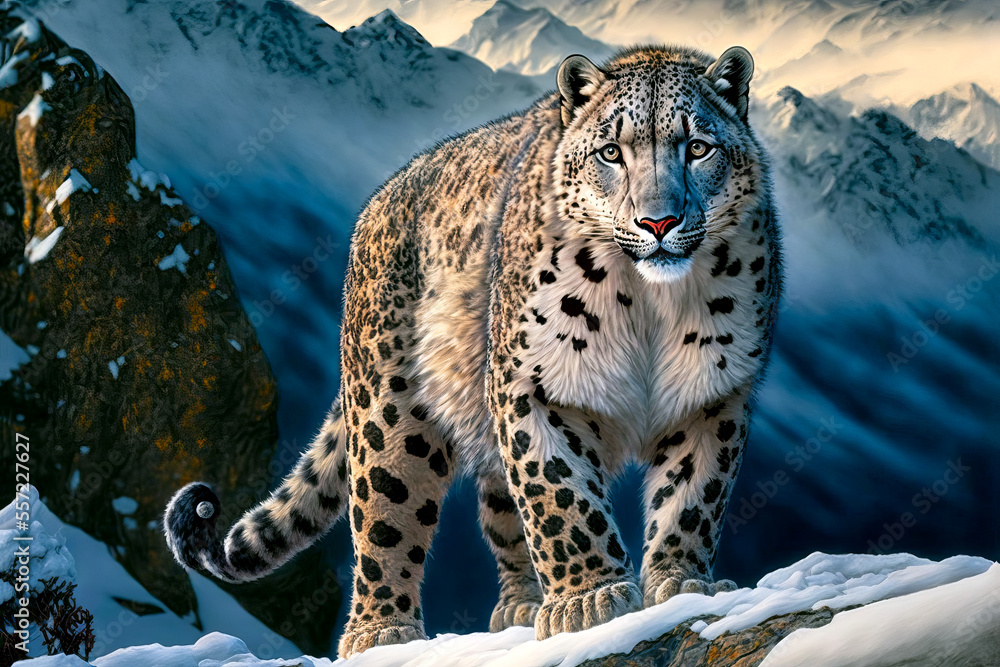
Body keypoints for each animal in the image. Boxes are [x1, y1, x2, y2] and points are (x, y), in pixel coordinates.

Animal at [165, 44, 782, 658]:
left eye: (698, 147)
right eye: (611, 151)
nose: (658, 221)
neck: (650, 307)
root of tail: (375, 207)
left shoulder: (713, 393)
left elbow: (694, 496)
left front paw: (682, 583)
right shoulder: (535, 382)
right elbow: (559, 492)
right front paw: (591, 600)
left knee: (500, 508)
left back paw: (518, 607)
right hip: (391, 413)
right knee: (385, 513)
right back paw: (381, 633)